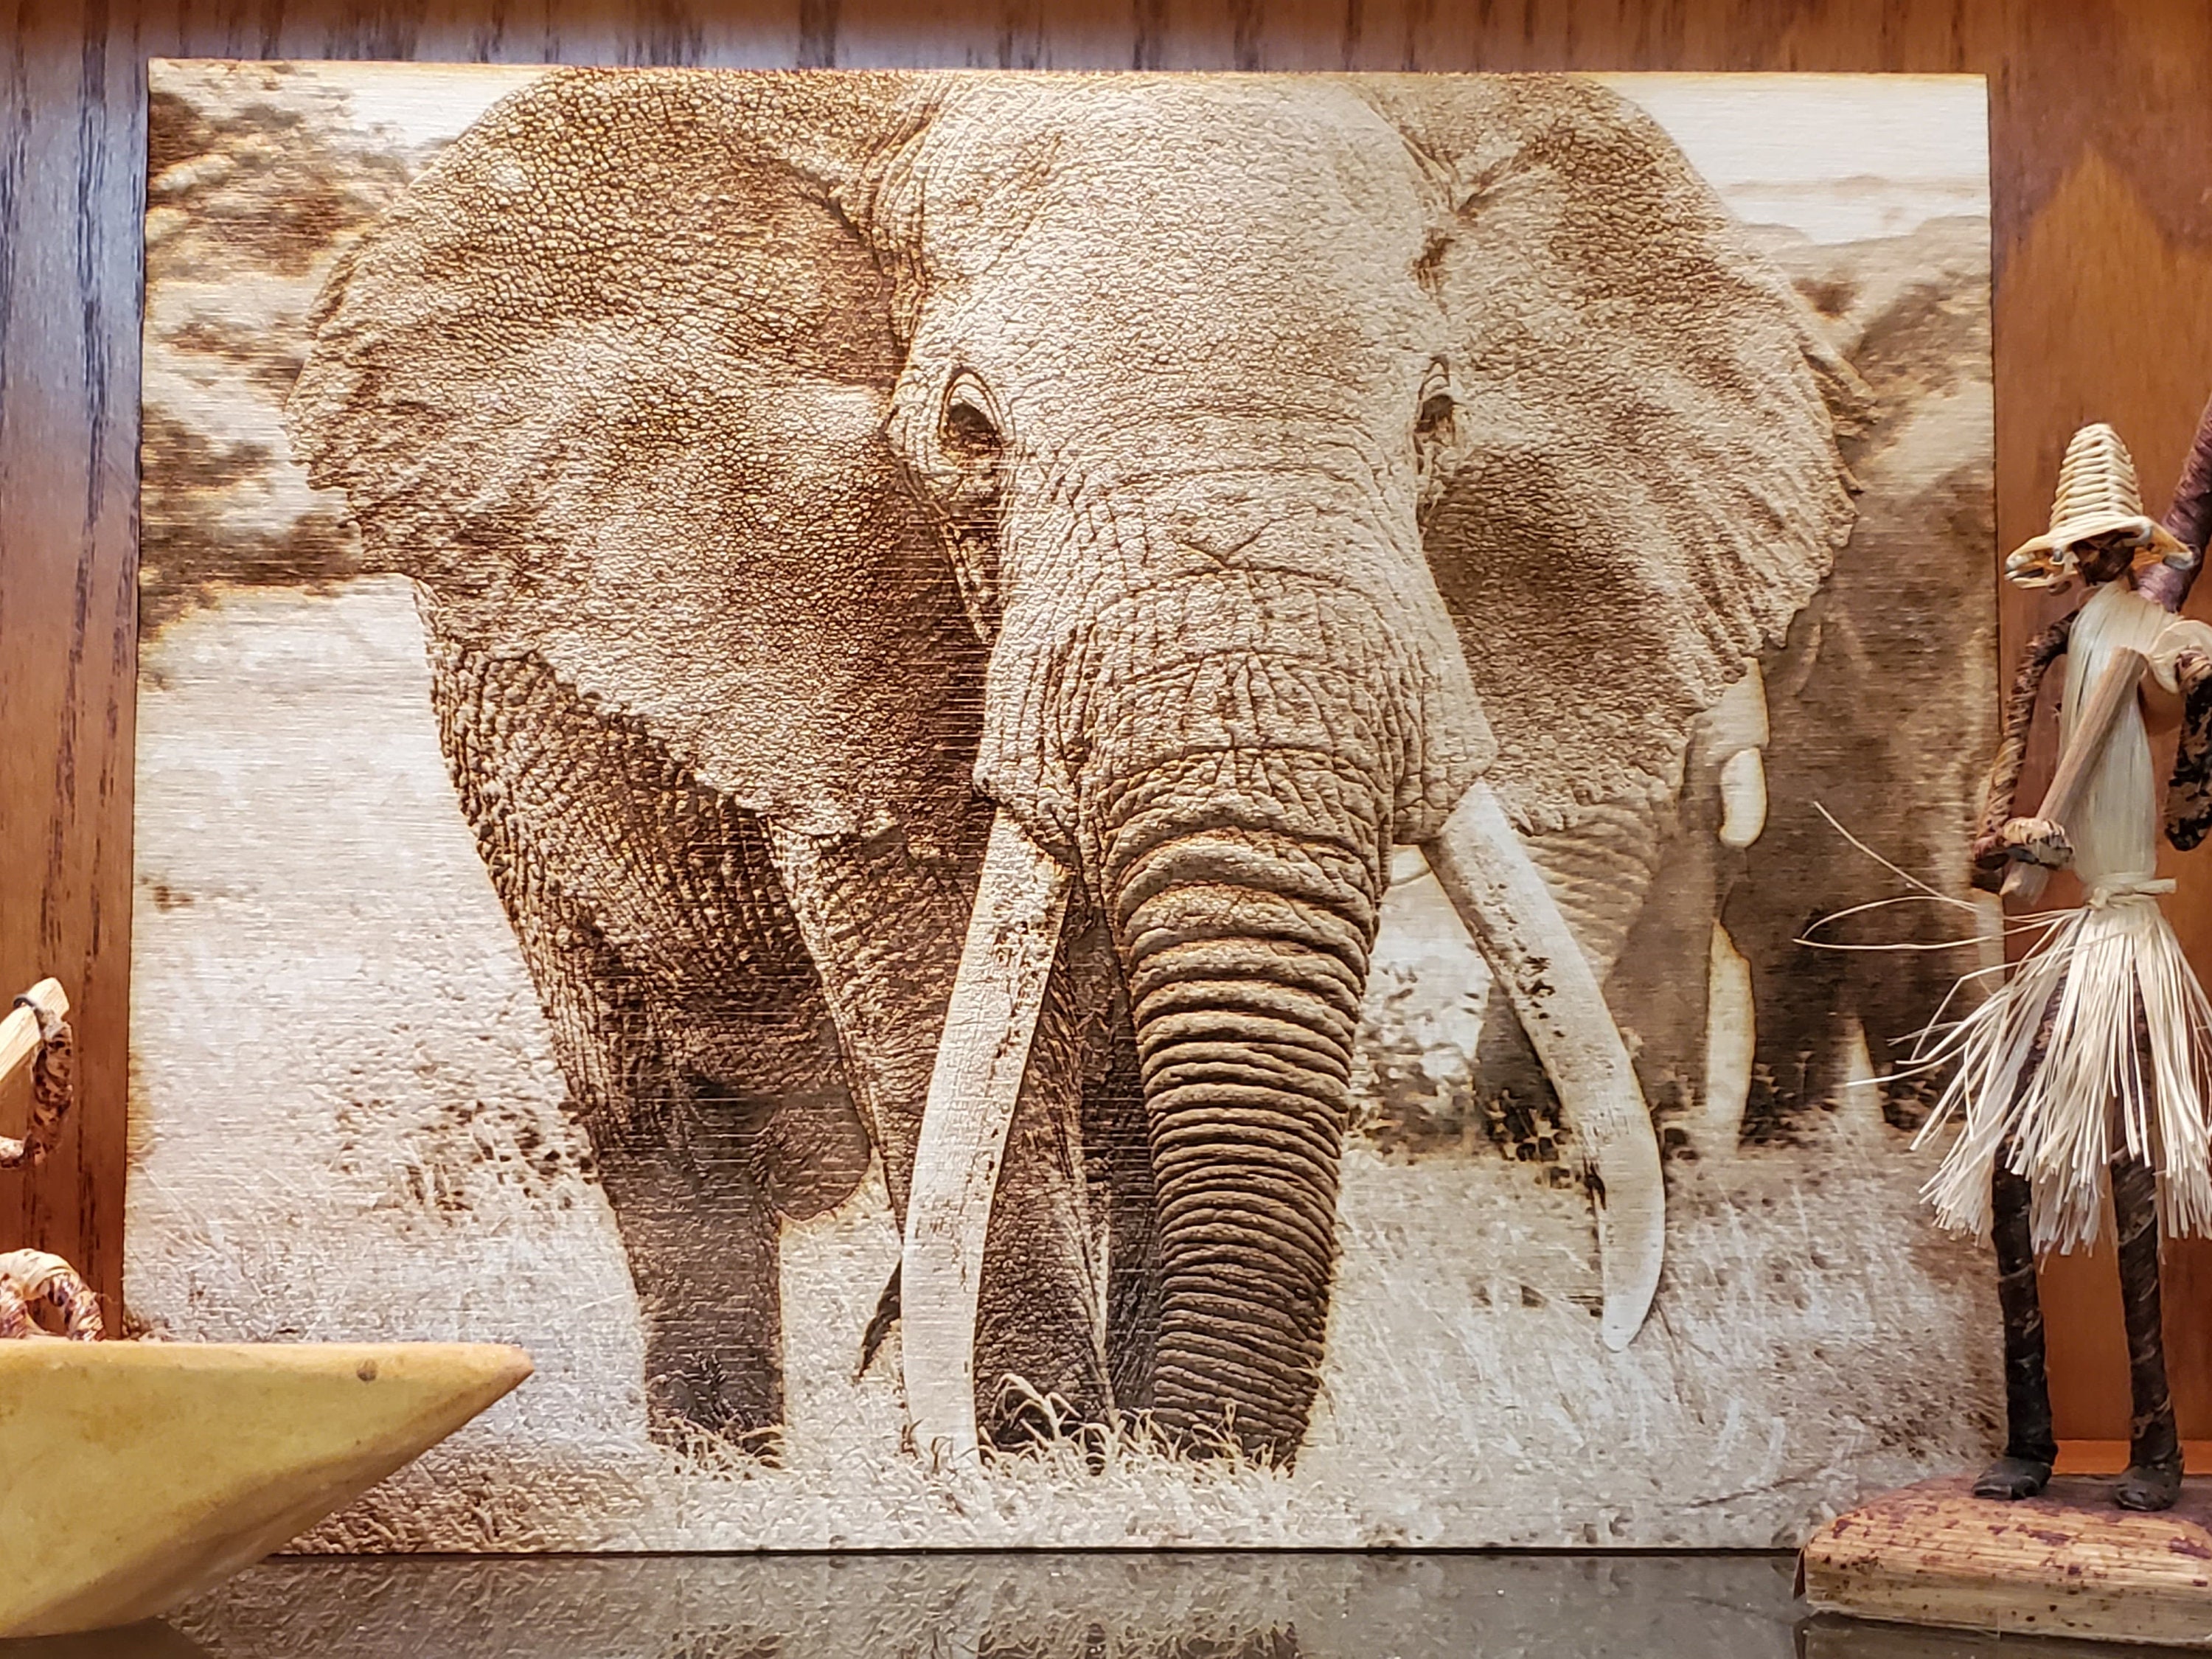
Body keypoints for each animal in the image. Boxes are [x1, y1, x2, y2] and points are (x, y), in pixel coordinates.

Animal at [285, 69, 1856, 1464]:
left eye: (1436, 418)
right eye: (969, 431)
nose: (1199, 1456)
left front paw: (1153, 1470)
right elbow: (940, 1004)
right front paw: (1037, 1457)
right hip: (513, 790)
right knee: (656, 1109)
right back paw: (725, 1468)